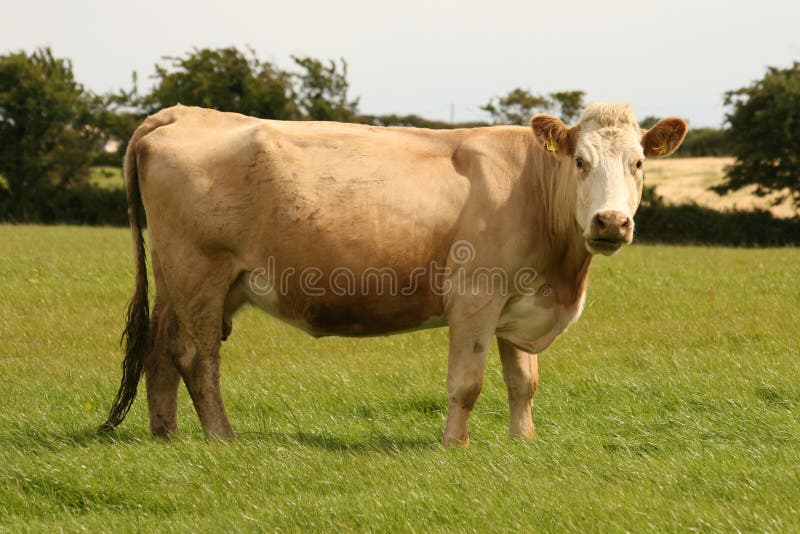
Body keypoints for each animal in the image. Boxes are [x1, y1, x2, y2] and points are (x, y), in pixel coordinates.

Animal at [101, 103, 687, 446]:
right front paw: (455, 446)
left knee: (160, 349)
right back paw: (222, 438)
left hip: (179, 278)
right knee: (196, 358)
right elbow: (467, 383)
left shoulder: (519, 301)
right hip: (201, 272)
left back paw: (166, 435)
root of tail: (183, 112)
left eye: (638, 162)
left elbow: (524, 382)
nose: (611, 221)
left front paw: (524, 442)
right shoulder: (475, 296)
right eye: (580, 161)